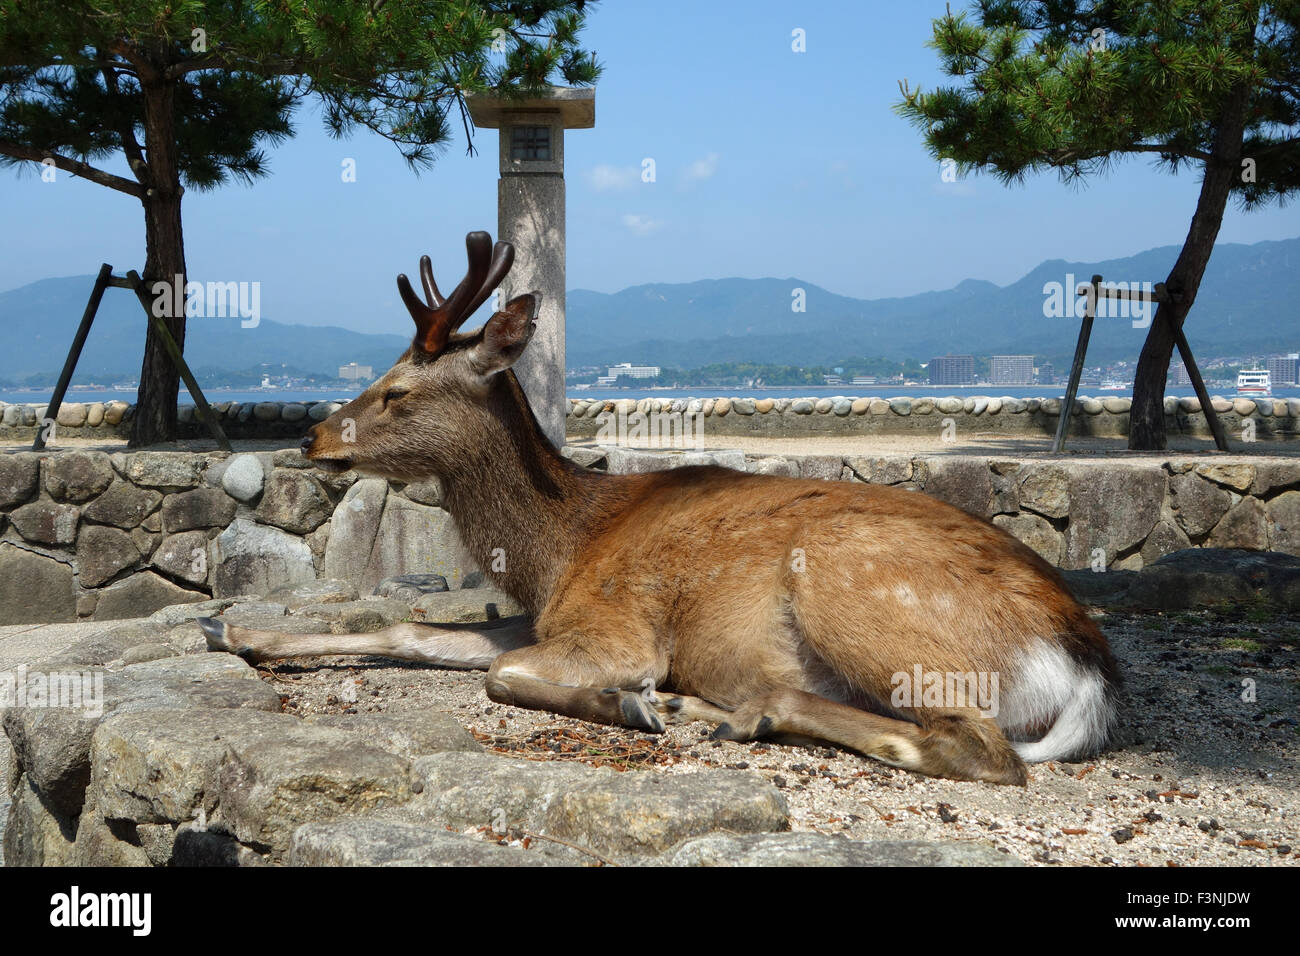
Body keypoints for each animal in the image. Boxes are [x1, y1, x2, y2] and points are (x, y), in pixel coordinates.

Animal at [199, 230, 1122, 786]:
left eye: (395, 391)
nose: (315, 436)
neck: (559, 546)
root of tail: (1084, 669)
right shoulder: (545, 614)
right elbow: (407, 631)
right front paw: (232, 631)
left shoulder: (614, 628)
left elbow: (503, 676)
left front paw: (628, 702)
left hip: (864, 601)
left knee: (978, 747)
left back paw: (735, 711)